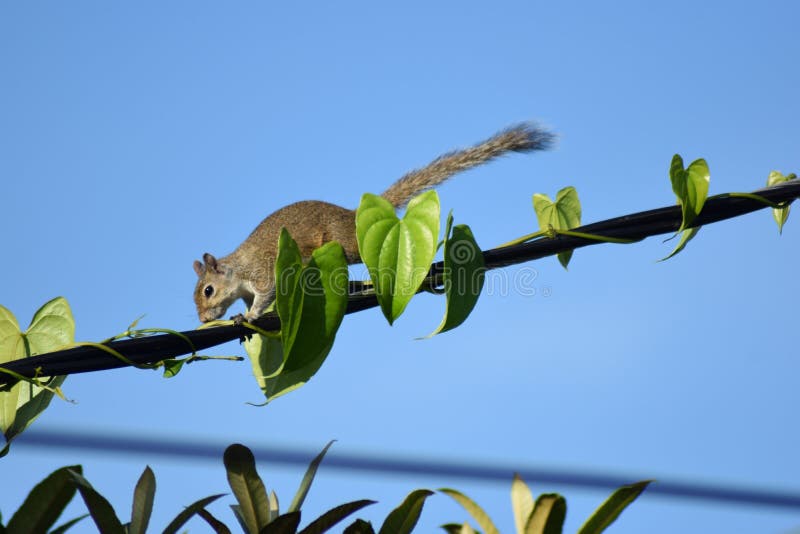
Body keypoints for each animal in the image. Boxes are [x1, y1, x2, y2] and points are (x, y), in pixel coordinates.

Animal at [193, 123, 554, 323]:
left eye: (208, 291)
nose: (204, 319)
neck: (238, 270)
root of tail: (351, 215)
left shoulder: (262, 272)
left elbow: (266, 293)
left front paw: (250, 316)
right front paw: (246, 315)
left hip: (346, 244)